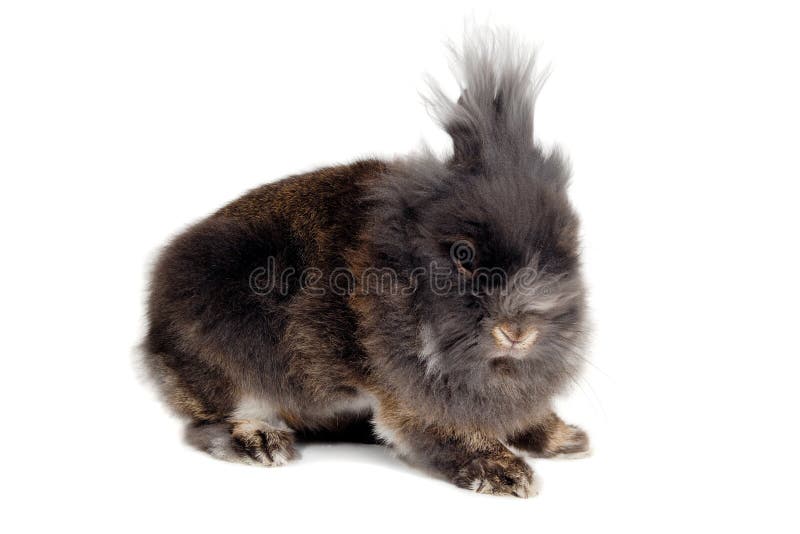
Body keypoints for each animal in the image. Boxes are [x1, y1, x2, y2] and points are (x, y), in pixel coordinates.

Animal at [143, 27, 591, 498]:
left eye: (565, 249)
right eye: (463, 254)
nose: (519, 333)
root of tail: (153, 338)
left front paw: (566, 439)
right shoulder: (405, 390)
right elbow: (444, 427)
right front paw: (508, 472)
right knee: (209, 421)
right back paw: (261, 442)